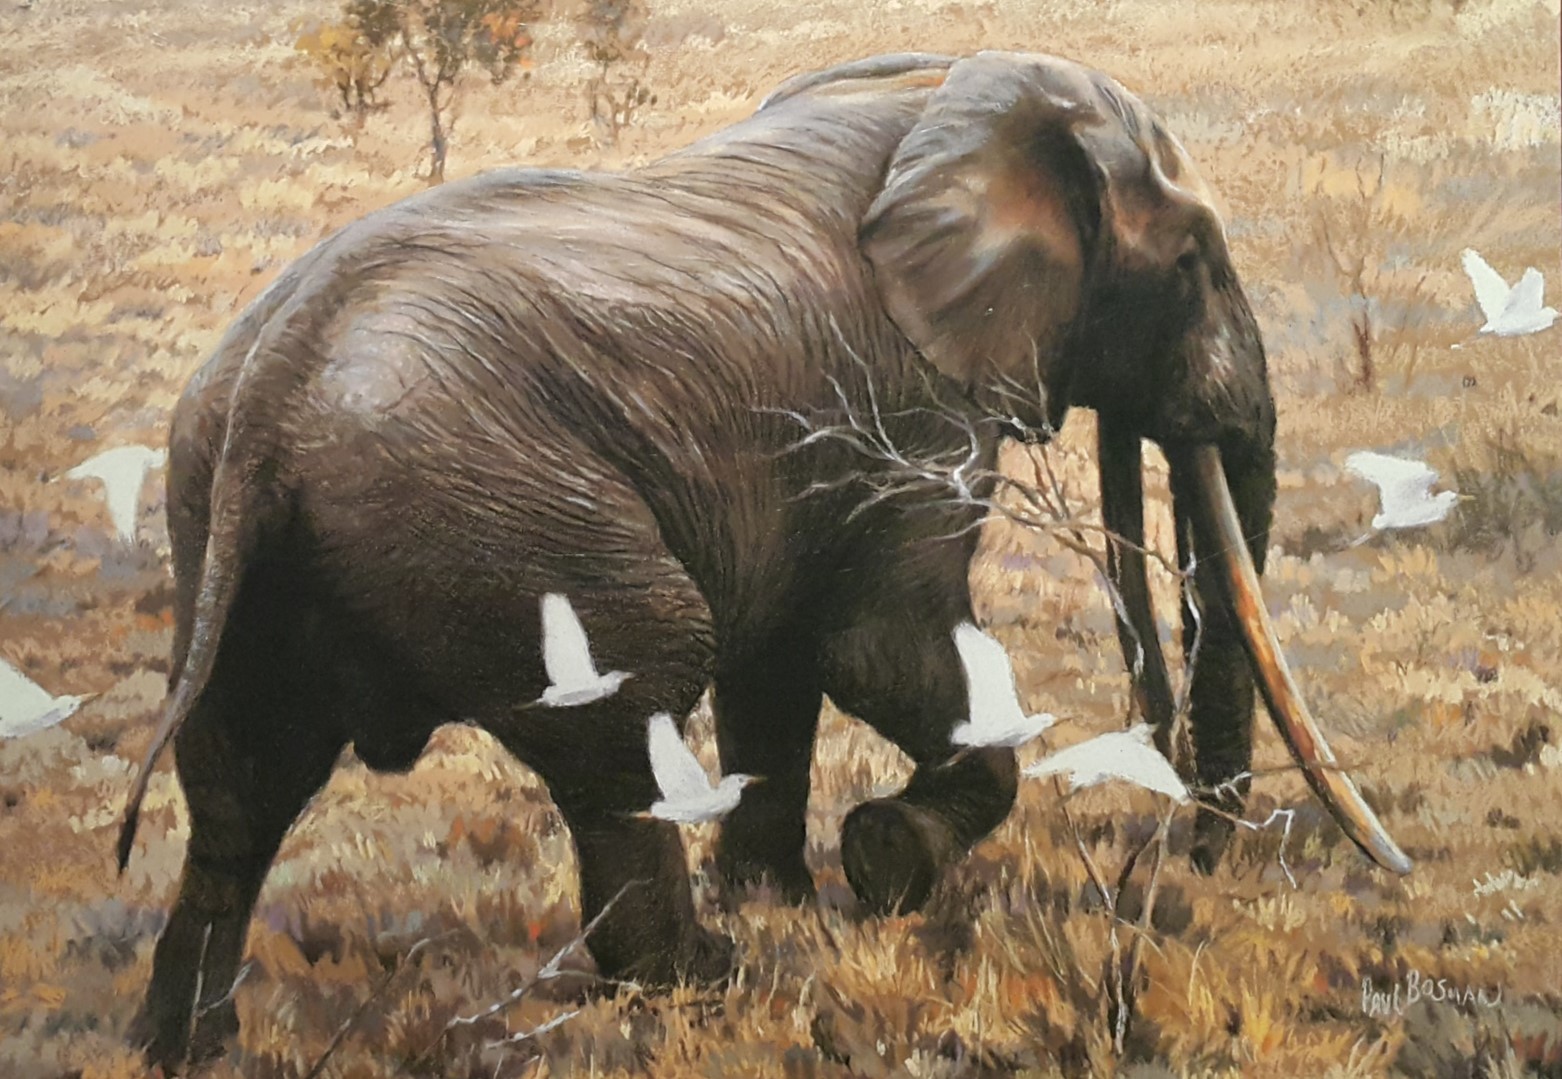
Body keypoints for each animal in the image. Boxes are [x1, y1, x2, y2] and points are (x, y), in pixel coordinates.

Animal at [114, 49, 1411, 1069]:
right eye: (1194, 264)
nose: (1194, 862)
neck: (952, 91)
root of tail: (270, 386)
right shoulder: (910, 406)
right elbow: (874, 646)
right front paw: (880, 866)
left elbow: (783, 660)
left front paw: (788, 896)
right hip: (485, 509)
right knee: (636, 686)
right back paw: (705, 978)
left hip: (242, 526)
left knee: (241, 774)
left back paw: (186, 1047)